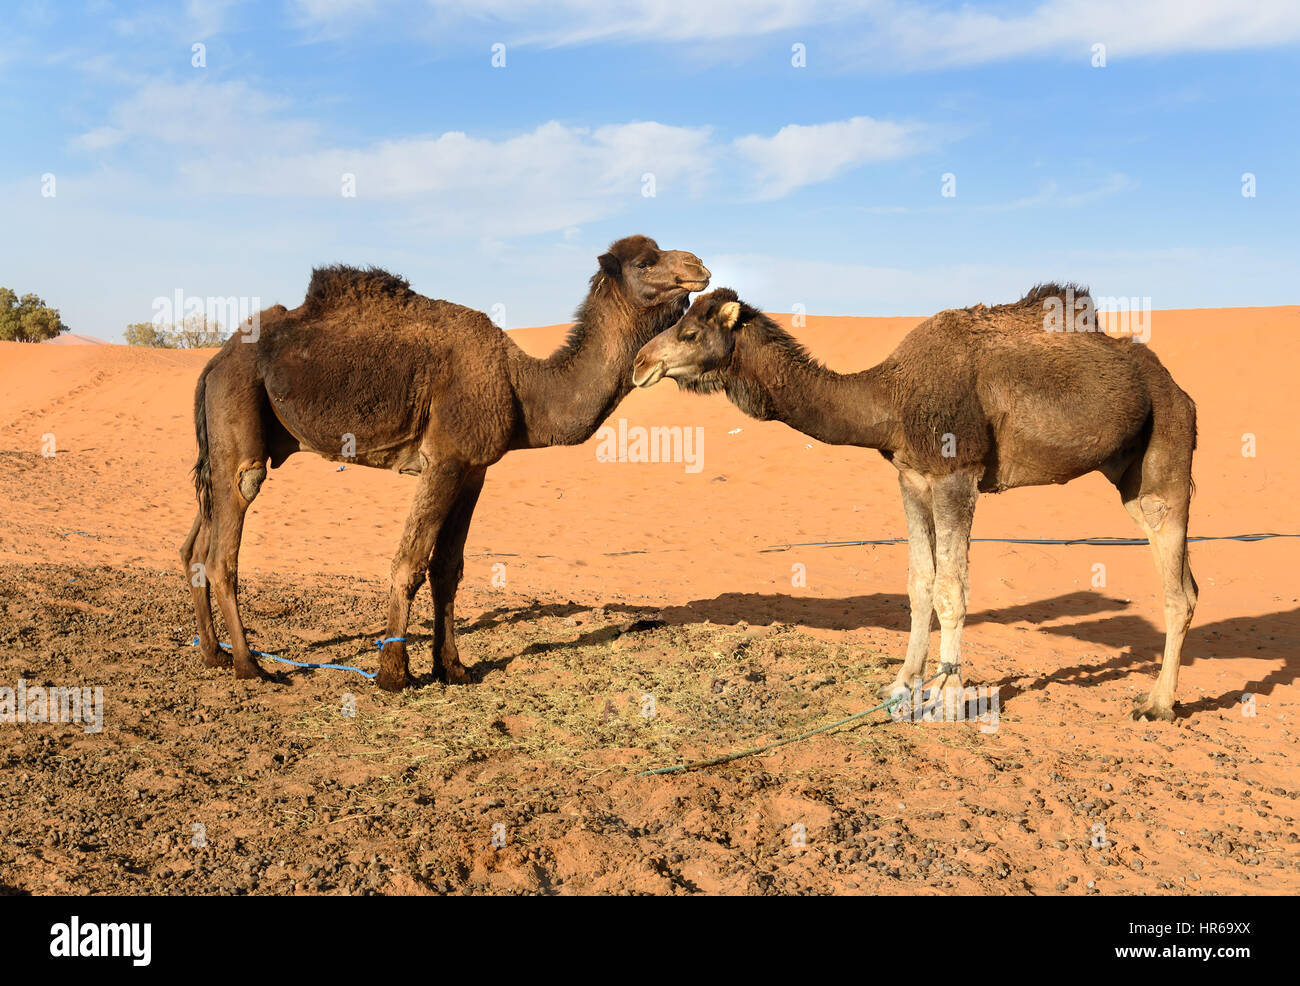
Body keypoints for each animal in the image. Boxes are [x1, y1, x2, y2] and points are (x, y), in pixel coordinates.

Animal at [181, 235, 709, 691]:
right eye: (646, 261)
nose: (698, 265)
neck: (520, 386)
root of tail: (214, 361)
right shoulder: (444, 460)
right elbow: (409, 564)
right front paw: (394, 674)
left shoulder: (474, 469)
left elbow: (448, 569)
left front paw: (453, 667)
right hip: (239, 413)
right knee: (224, 545)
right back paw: (250, 666)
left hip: (228, 439)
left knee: (195, 549)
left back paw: (213, 654)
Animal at [632, 286, 1198, 721]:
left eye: (689, 333)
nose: (640, 364)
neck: (890, 399)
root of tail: (1180, 390)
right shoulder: (912, 478)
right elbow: (919, 582)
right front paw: (904, 685)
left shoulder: (956, 474)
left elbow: (952, 590)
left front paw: (947, 697)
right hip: (1130, 474)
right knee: (1182, 577)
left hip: (1167, 452)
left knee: (1178, 588)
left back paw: (1158, 705)